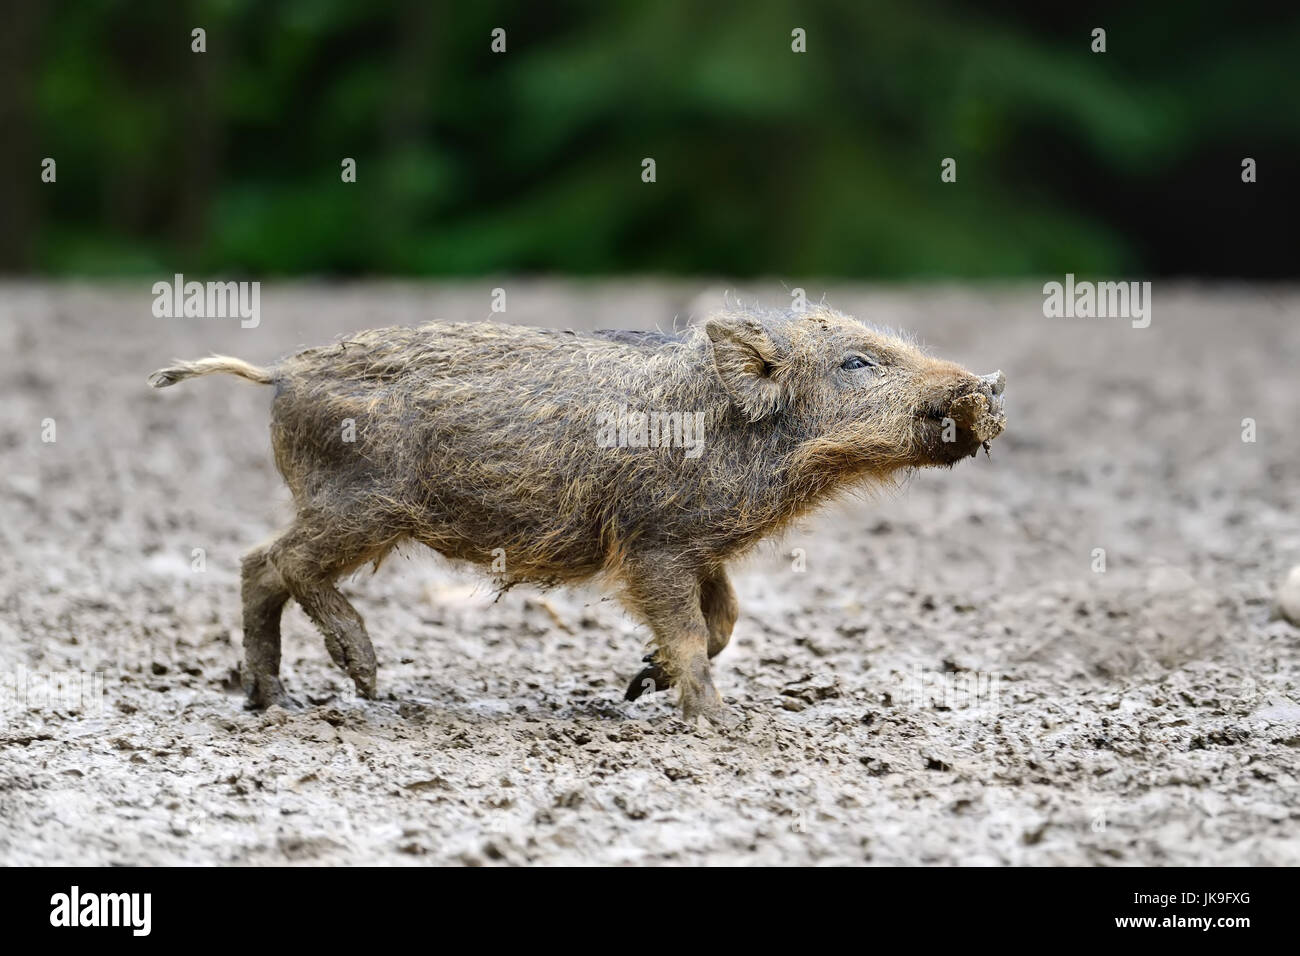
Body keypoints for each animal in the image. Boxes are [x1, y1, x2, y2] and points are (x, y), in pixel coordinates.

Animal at [149, 304, 1006, 728]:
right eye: (857, 362)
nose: (988, 384)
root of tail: (280, 372)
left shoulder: (701, 548)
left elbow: (725, 621)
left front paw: (639, 684)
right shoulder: (655, 543)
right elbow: (691, 631)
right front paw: (719, 723)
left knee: (262, 567)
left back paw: (271, 699)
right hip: (361, 506)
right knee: (276, 561)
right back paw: (364, 678)